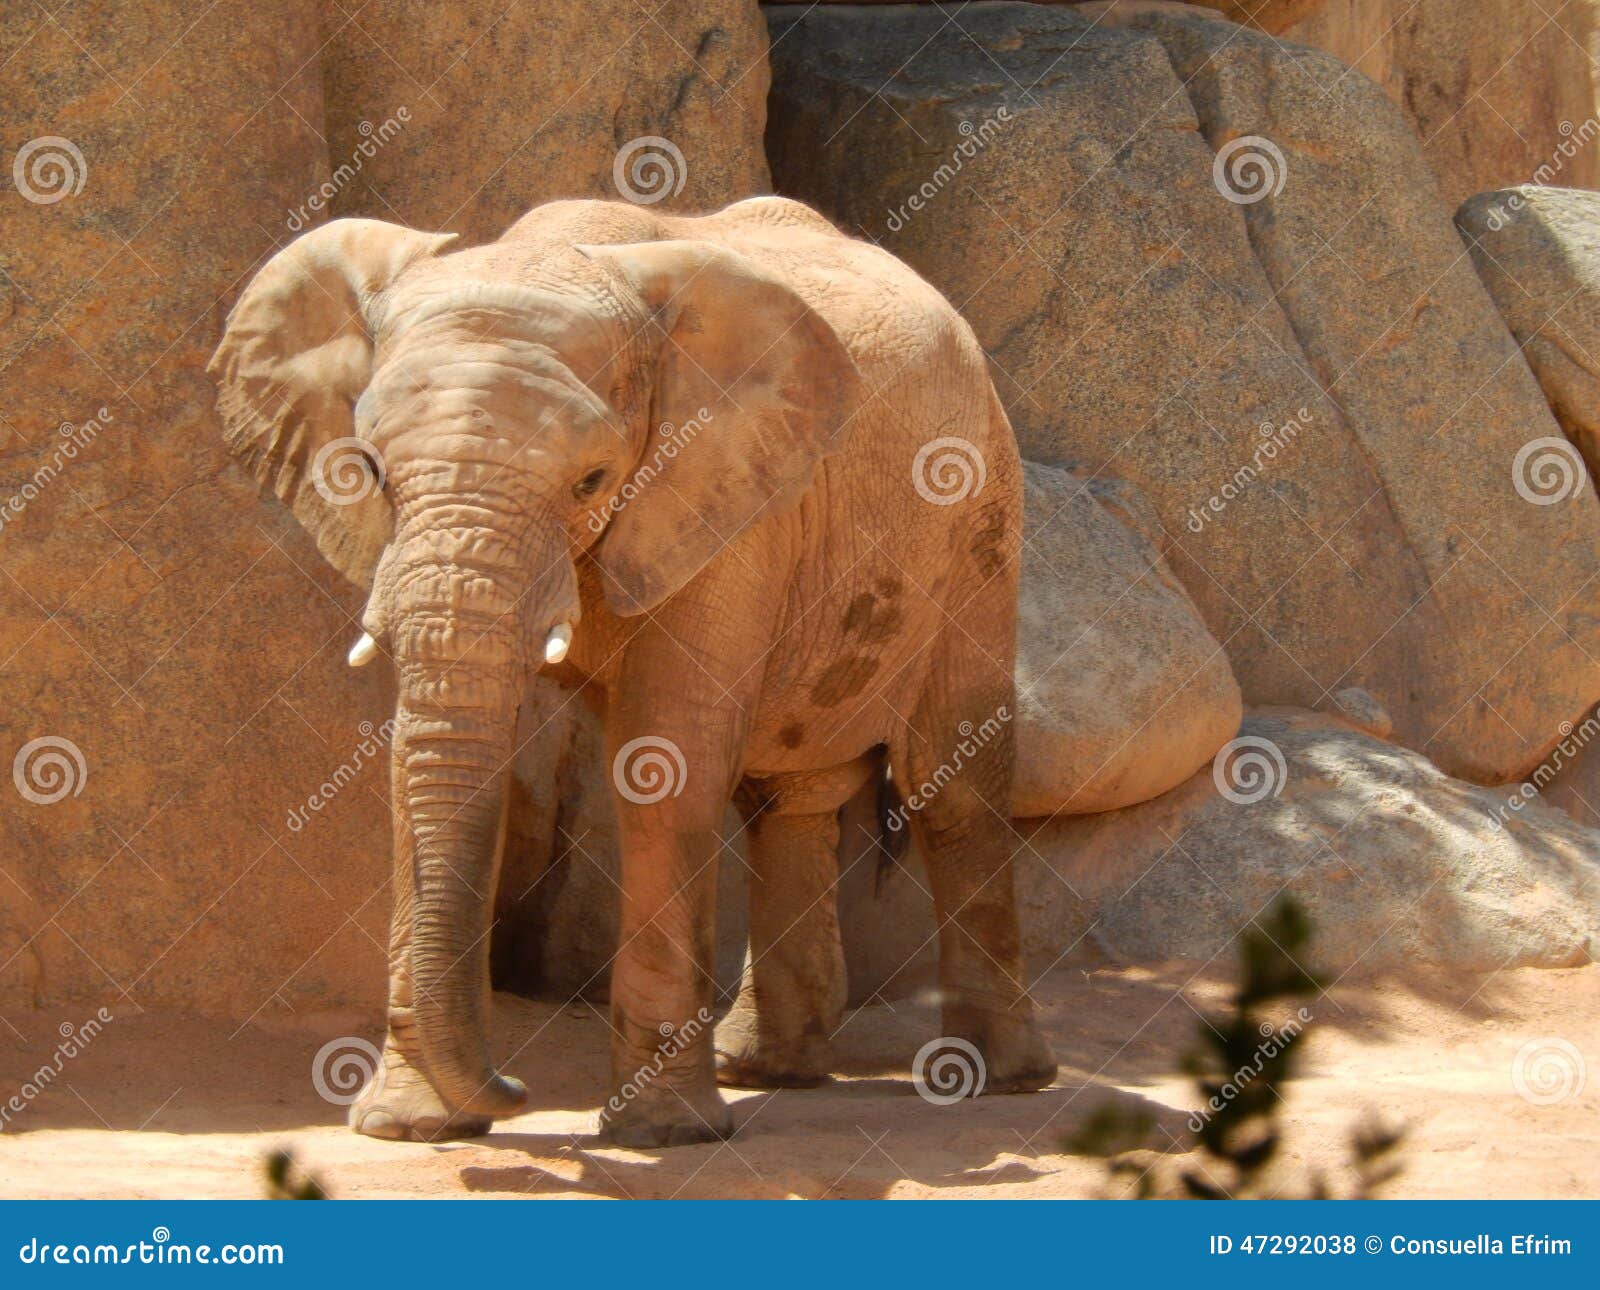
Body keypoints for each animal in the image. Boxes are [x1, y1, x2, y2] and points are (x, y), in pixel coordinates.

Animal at [209, 195, 1055, 1147]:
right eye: (374, 473)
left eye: (591, 479)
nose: (515, 1089)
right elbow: (421, 756)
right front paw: (408, 1127)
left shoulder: (728, 496)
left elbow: (666, 759)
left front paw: (662, 1133)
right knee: (786, 799)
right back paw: (769, 1069)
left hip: (980, 512)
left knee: (955, 785)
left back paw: (997, 1079)